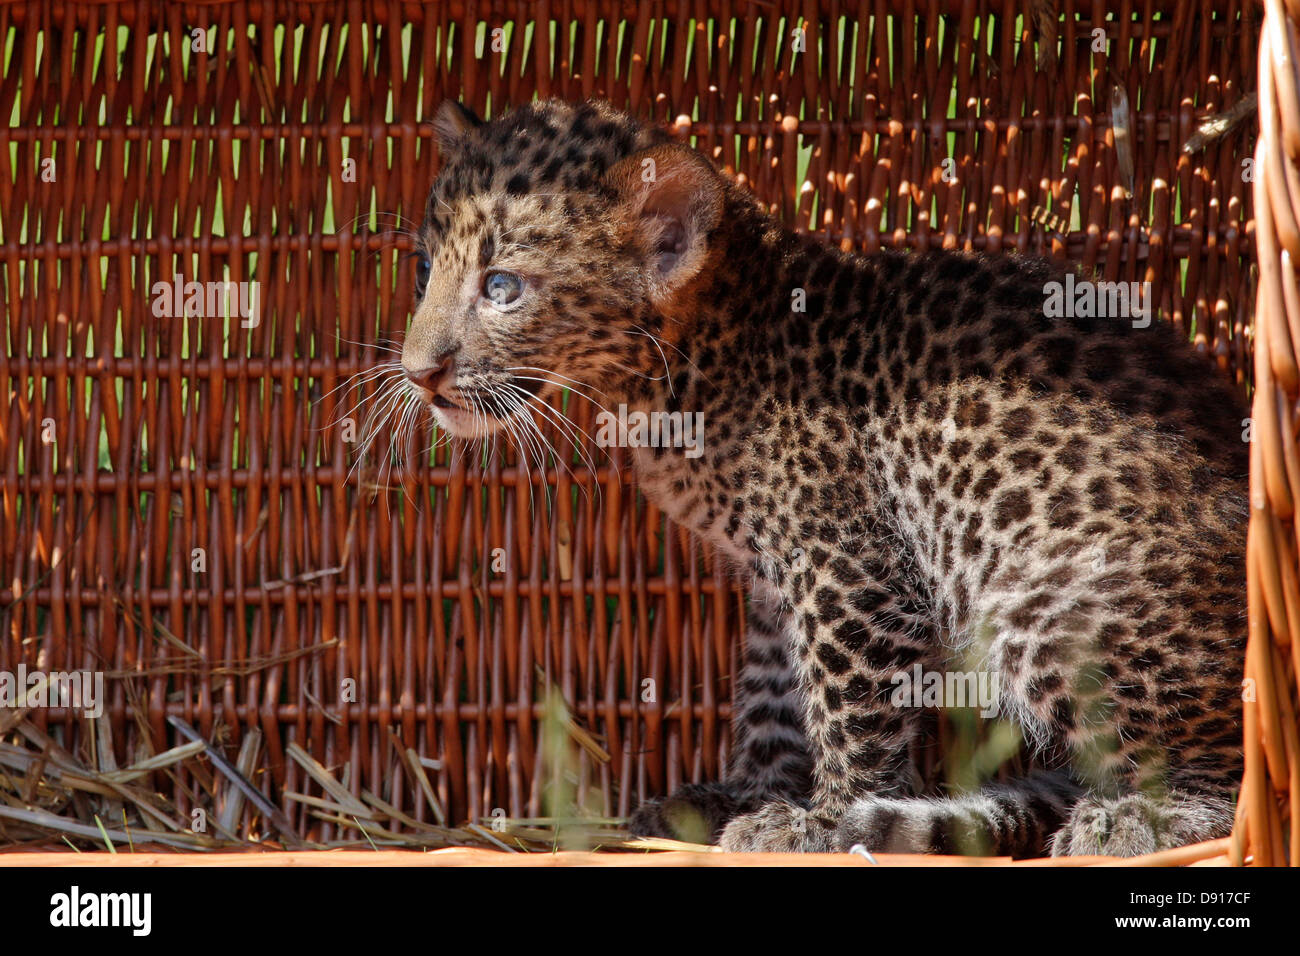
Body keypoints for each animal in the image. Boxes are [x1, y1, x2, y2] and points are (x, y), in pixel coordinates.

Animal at [399, 97, 1248, 857]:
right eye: (424, 269)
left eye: (502, 286)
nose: (417, 373)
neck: (691, 359)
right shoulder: (775, 579)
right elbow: (772, 698)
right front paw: (749, 796)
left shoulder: (848, 564)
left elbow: (849, 705)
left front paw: (825, 820)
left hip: (1050, 600)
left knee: (1229, 771)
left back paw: (1140, 821)